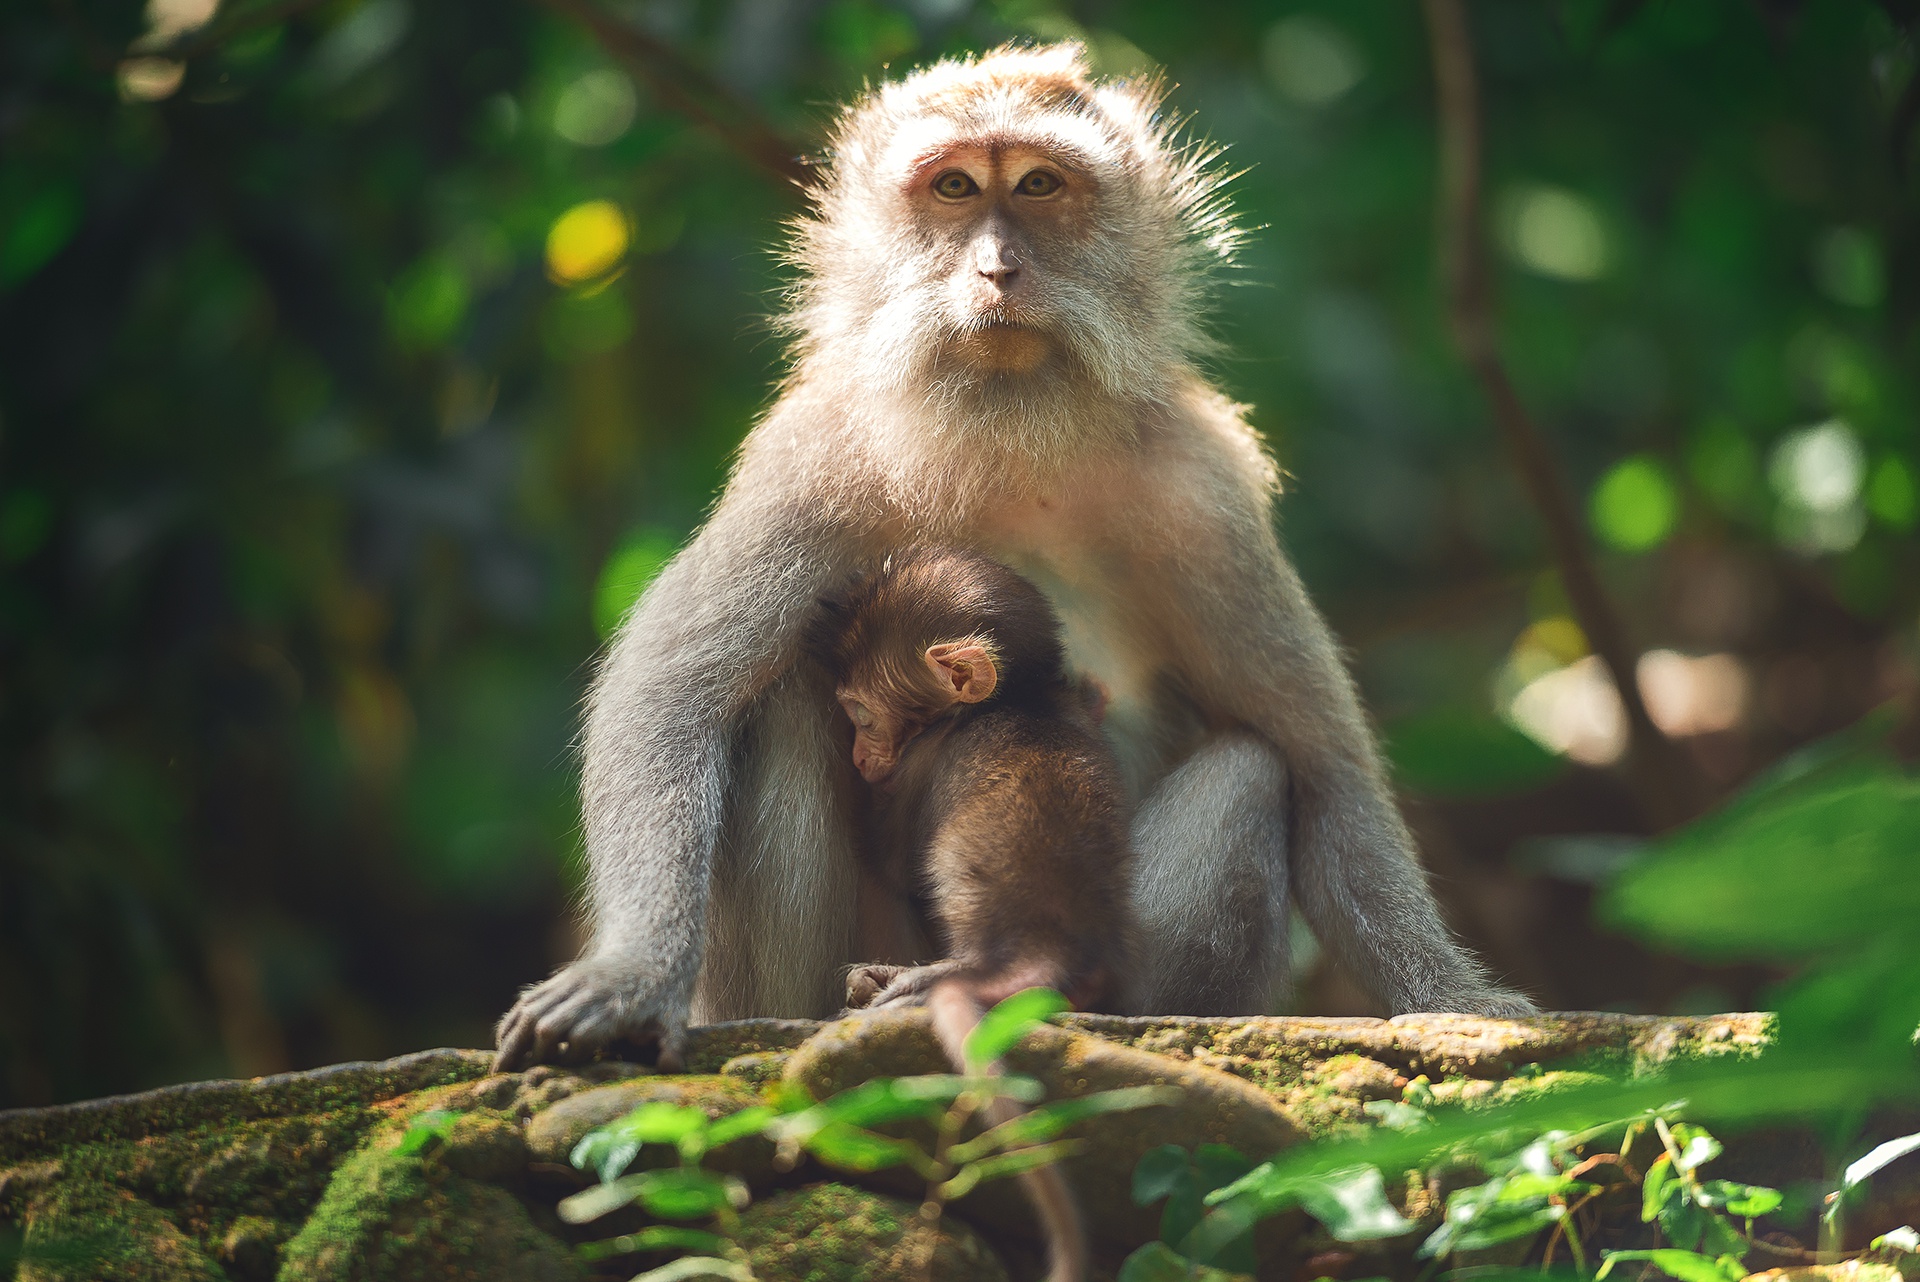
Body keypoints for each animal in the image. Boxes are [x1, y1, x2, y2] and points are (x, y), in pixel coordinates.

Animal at [495, 42, 1533, 1078]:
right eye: (954, 187)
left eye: (1039, 186)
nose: (998, 268)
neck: (1011, 437)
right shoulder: (814, 460)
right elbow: (668, 700)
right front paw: (630, 973)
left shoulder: (1202, 495)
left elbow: (1325, 770)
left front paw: (1457, 996)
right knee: (779, 702)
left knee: (1250, 768)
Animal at [809, 545, 1135, 1282]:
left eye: (860, 713)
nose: (858, 755)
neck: (1020, 699)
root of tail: (1049, 945)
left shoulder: (922, 759)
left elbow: (888, 853)